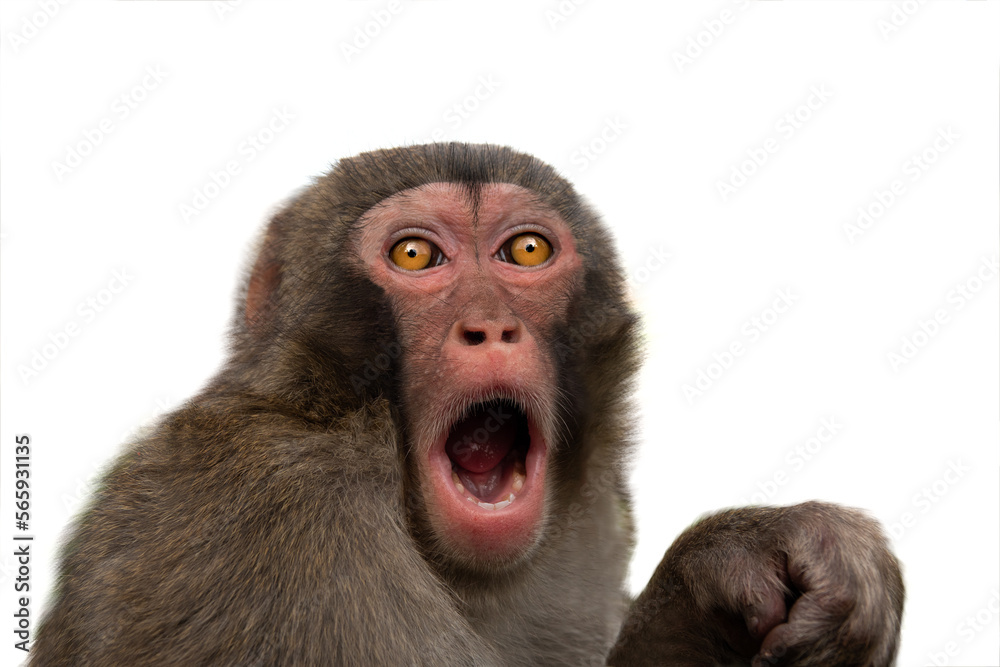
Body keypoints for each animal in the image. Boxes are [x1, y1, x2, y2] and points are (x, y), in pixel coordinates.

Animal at [31, 142, 904, 666]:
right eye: (416, 254)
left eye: (527, 249)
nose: (490, 325)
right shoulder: (276, 516)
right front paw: (712, 569)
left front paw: (732, 565)